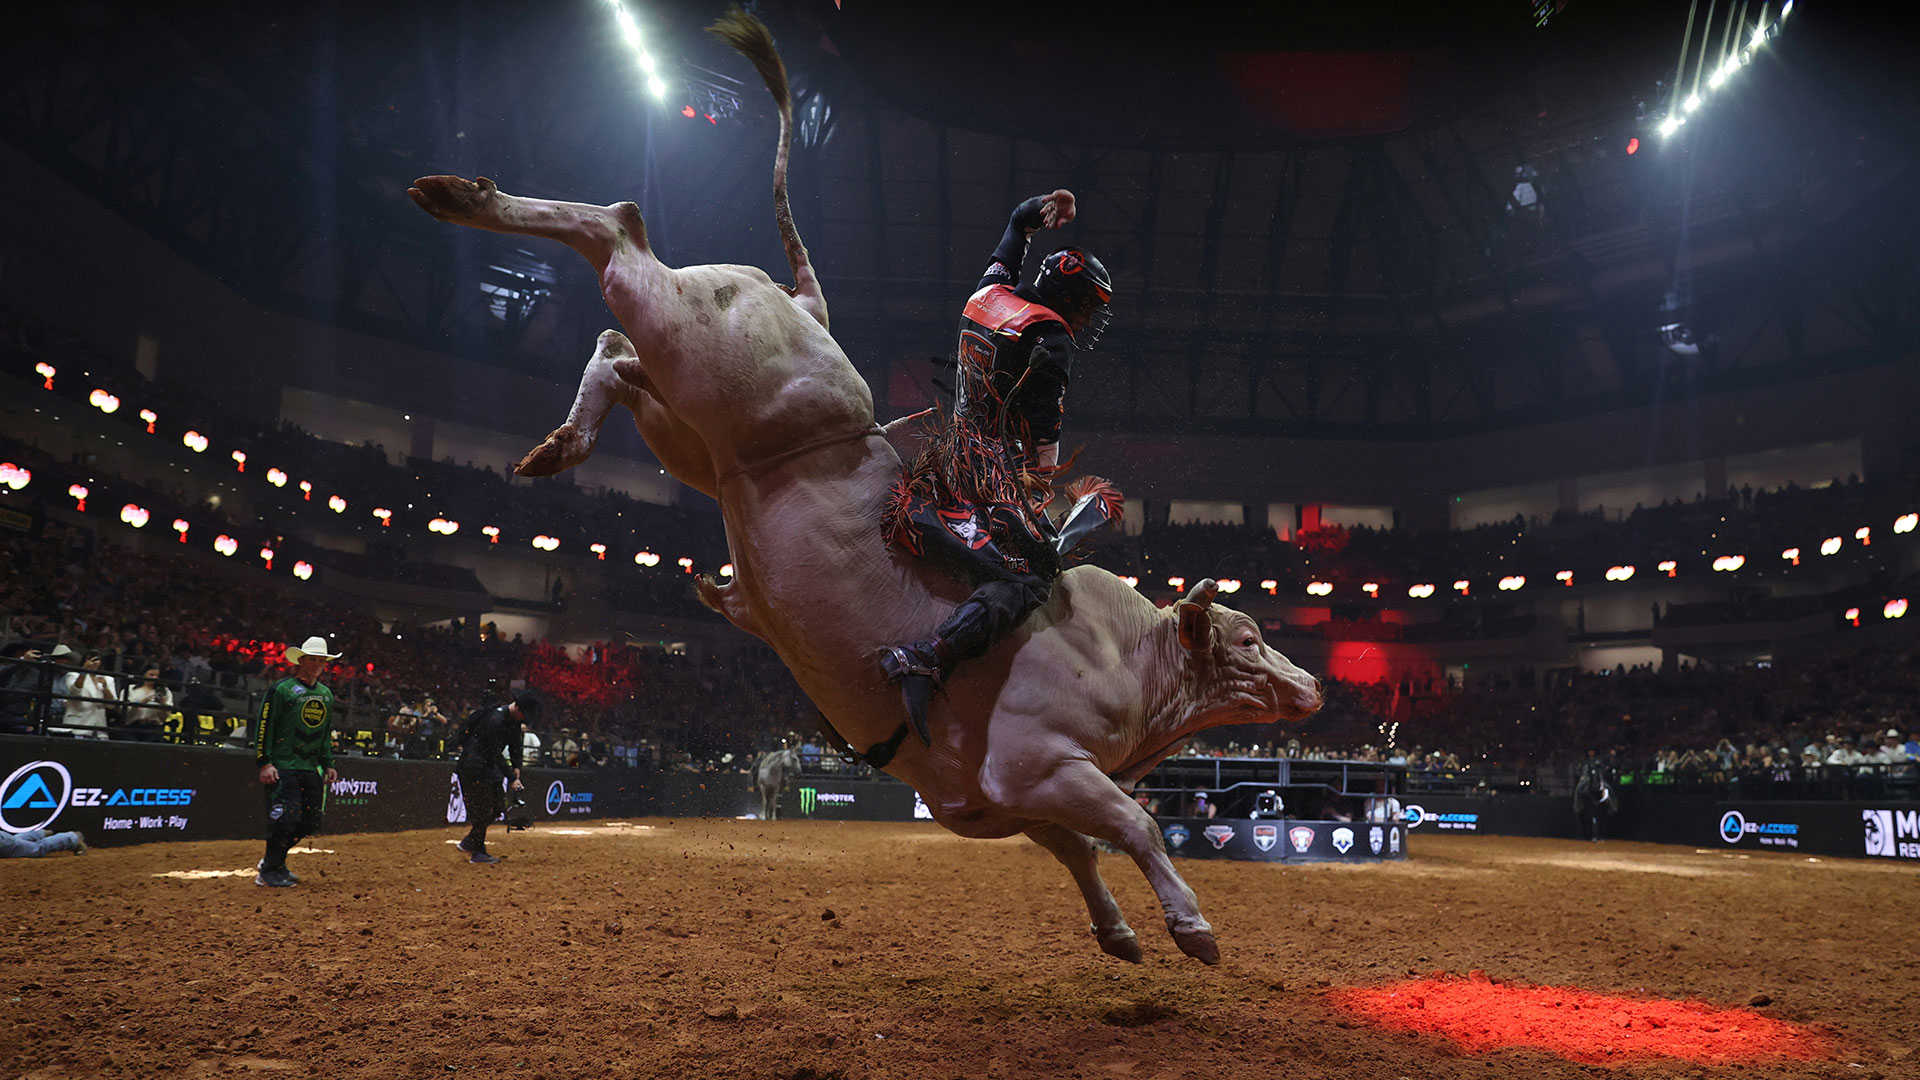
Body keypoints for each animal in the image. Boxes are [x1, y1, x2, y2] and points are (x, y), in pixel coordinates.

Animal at [408, 9, 1321, 964]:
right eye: (1248, 638)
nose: (1312, 689)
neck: (1128, 656)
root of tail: (802, 306)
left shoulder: (999, 797)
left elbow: (1075, 849)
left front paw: (1118, 933)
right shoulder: (1043, 764)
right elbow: (1134, 826)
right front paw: (1192, 927)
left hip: (694, 428)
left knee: (616, 354)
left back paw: (563, 446)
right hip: (707, 346)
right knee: (620, 233)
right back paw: (458, 196)